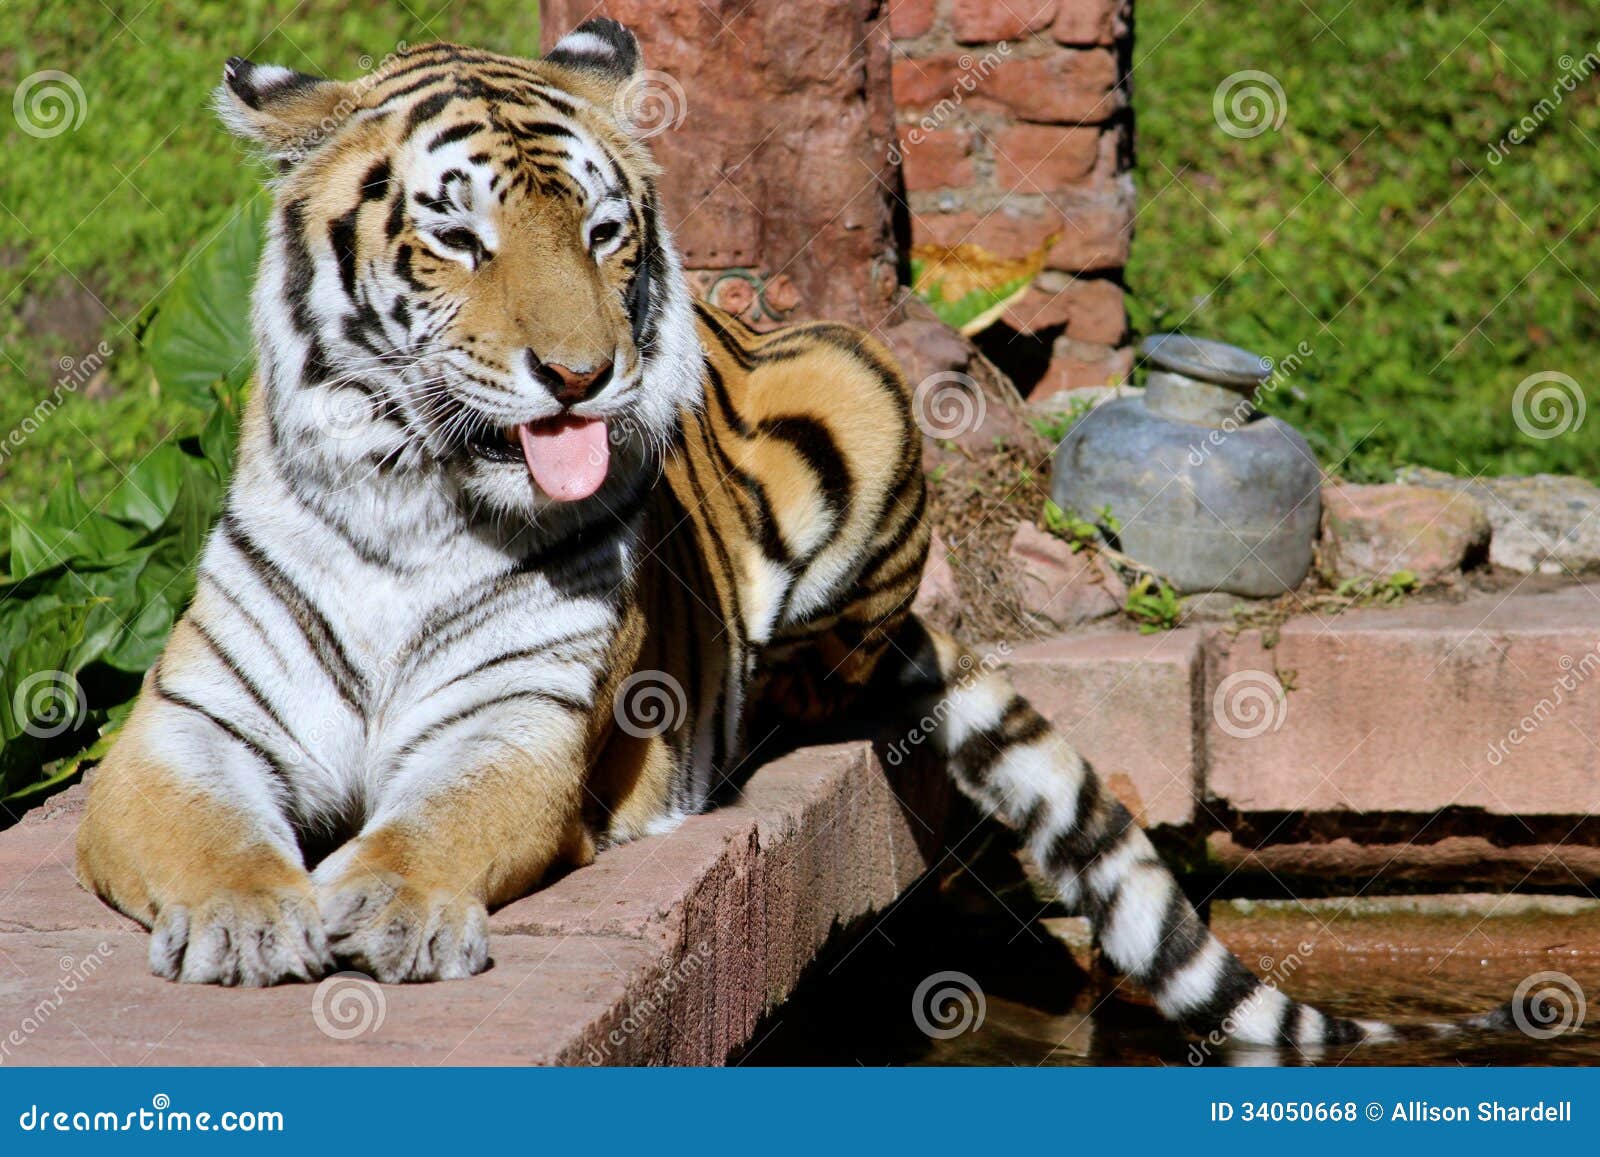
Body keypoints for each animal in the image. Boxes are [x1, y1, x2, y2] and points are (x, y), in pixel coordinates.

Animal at [76, 19, 1522, 1054]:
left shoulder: (513, 724)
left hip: (862, 388)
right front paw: (247, 921)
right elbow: (206, 834)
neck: (410, 495)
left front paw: (387, 907)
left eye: (602, 232)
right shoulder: (185, 726)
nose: (582, 377)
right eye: (458, 236)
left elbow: (435, 823)